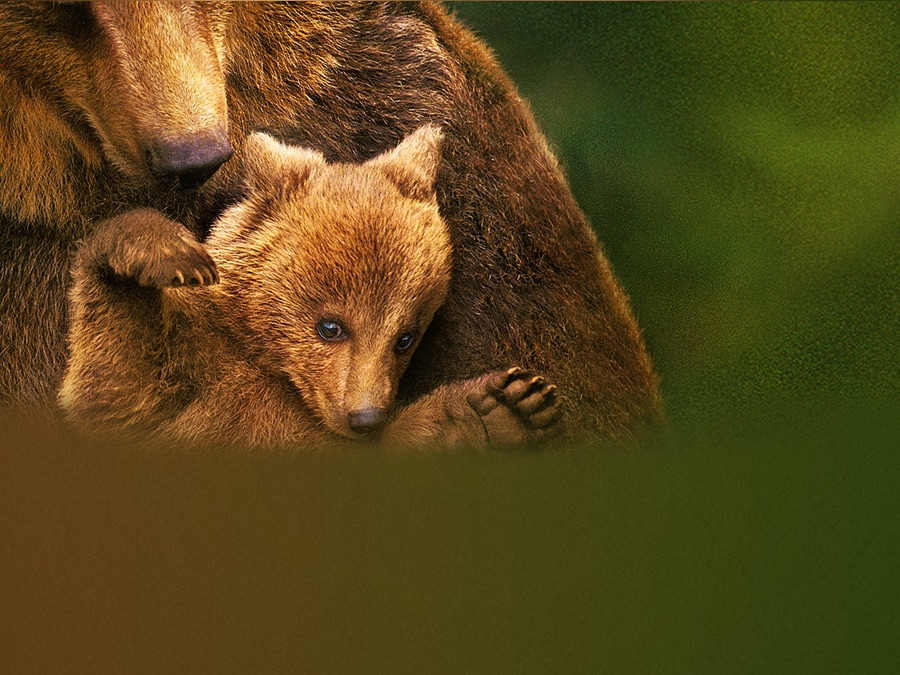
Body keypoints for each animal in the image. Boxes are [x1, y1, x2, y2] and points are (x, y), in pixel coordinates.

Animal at [59, 126, 562, 449]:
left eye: (405, 337)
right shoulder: (191, 367)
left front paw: (503, 406)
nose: (365, 417)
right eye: (331, 326)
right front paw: (164, 253)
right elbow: (116, 393)